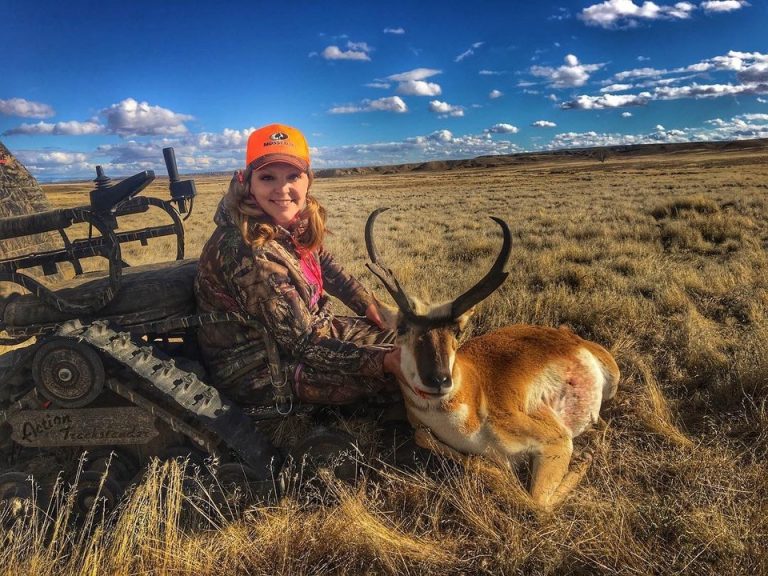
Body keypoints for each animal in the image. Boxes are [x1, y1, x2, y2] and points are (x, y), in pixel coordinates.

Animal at [365, 208, 620, 510]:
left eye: (457, 331)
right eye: (402, 329)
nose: (439, 380)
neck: (475, 398)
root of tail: (567, 336)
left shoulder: (557, 441)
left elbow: (537, 502)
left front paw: (583, 459)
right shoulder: (426, 432)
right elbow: (439, 444)